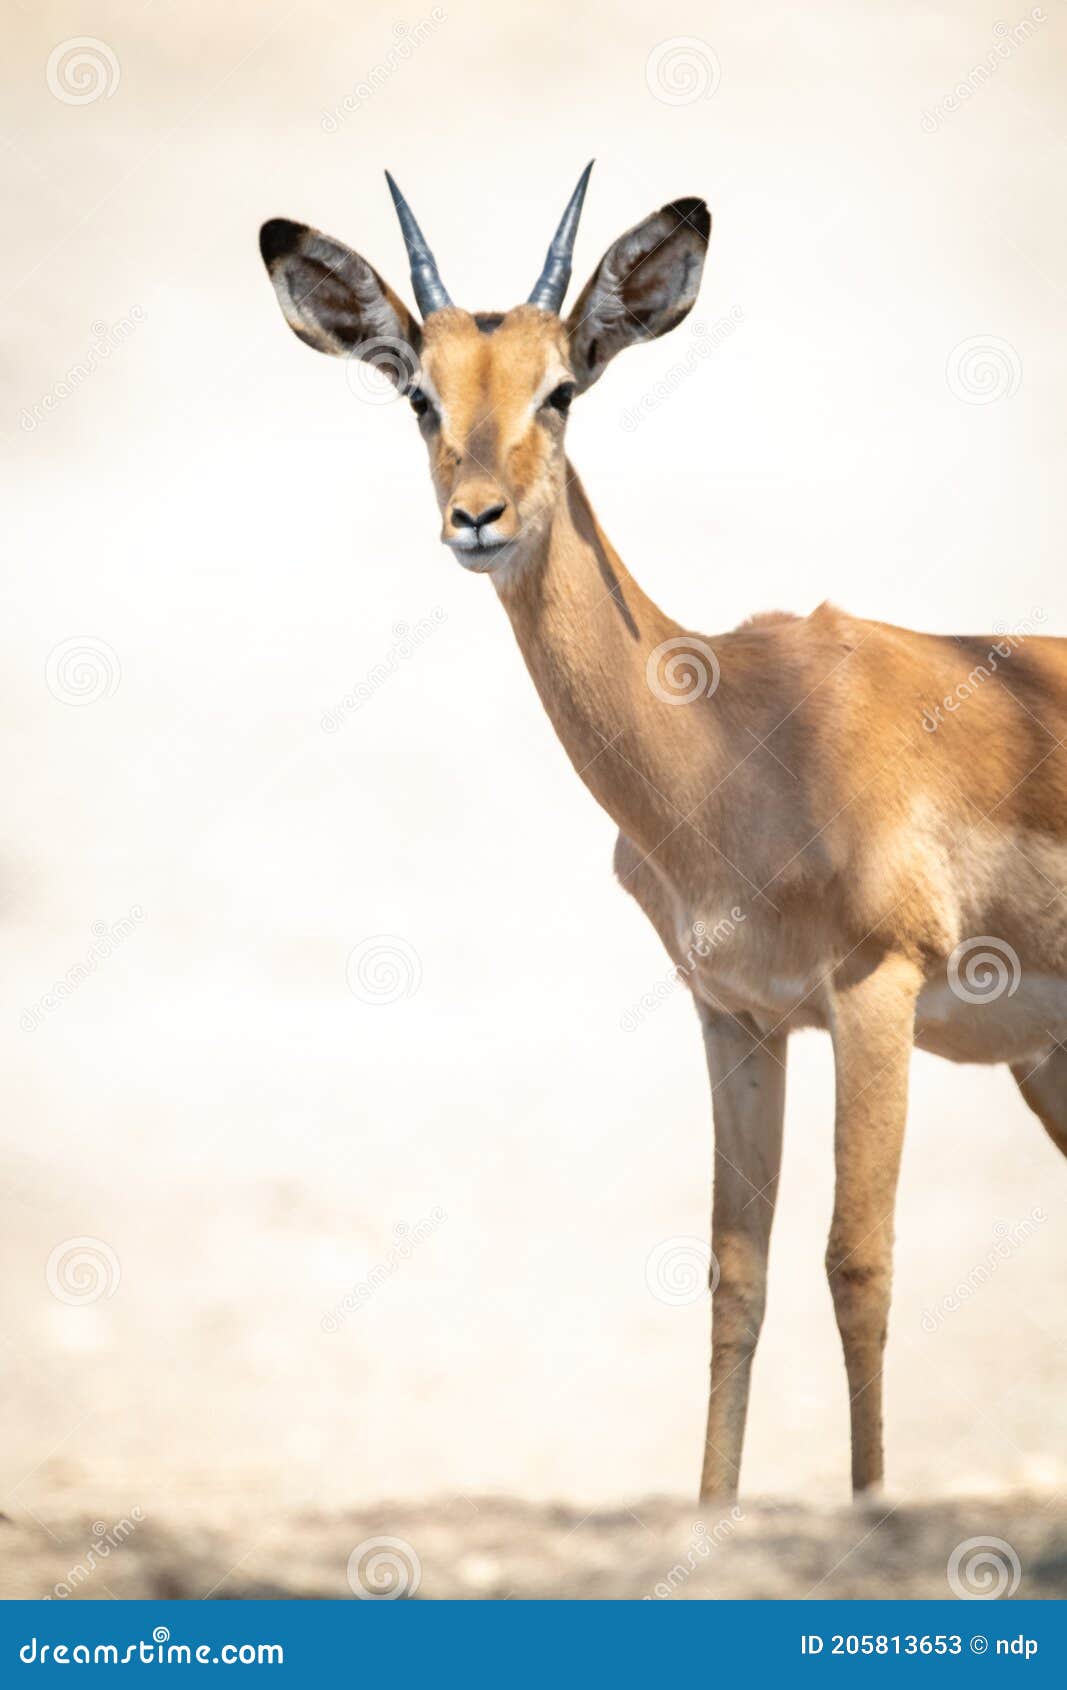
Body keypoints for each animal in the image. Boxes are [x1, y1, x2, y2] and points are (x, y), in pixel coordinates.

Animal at [259, 165, 1067, 1499]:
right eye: (420, 392)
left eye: (561, 387)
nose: (477, 518)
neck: (736, 736)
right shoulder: (736, 1017)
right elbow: (734, 1276)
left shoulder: (874, 992)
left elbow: (856, 1264)